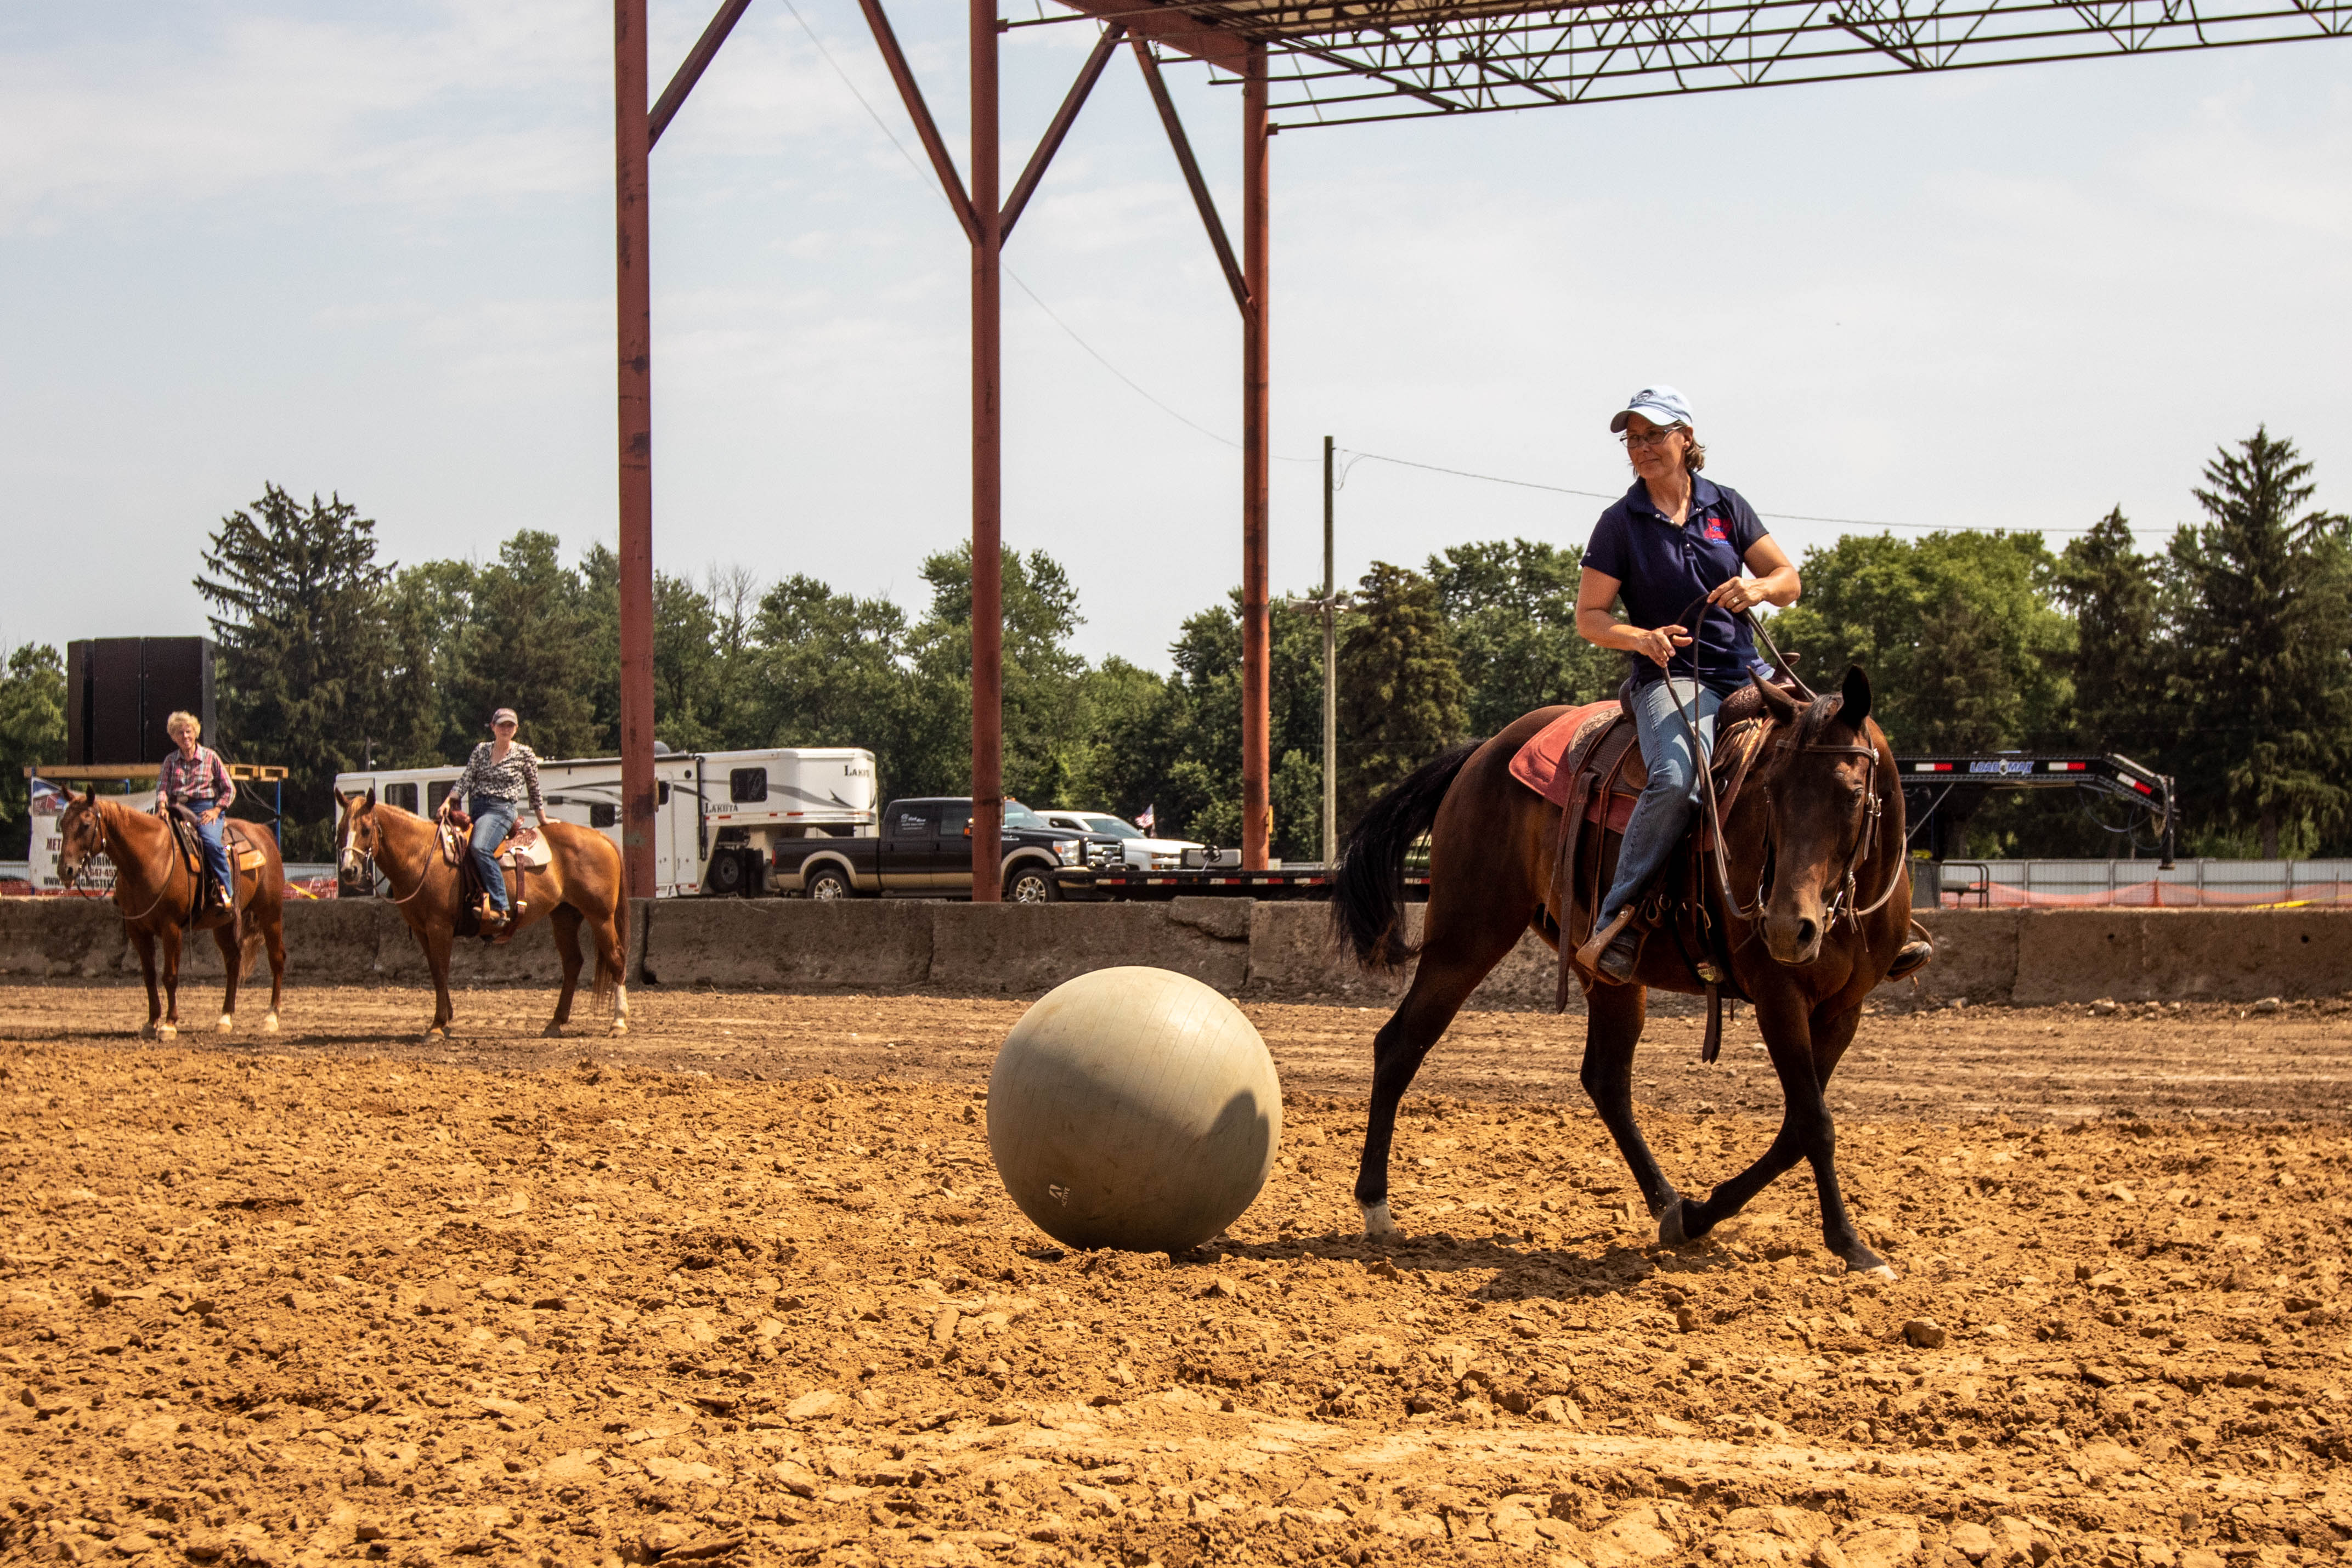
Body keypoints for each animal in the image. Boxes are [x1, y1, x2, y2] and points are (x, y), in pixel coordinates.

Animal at [54, 790, 287, 1040]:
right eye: (63, 823)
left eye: (86, 825)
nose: (66, 870)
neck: (151, 858)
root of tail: (262, 833)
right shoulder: (138, 930)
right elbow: (149, 976)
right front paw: (151, 1022)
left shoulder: (171, 927)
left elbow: (170, 976)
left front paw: (169, 1024)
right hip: (224, 921)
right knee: (234, 960)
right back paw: (225, 1018)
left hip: (270, 913)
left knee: (276, 958)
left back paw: (271, 1017)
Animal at [334, 789, 630, 1041]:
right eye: (340, 830)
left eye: (366, 829)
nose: (349, 871)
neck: (421, 855)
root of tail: (602, 839)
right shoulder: (421, 929)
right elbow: (435, 971)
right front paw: (446, 1020)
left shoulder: (439, 926)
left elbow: (441, 970)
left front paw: (438, 1025)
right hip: (565, 916)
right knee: (572, 963)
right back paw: (555, 1023)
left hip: (601, 916)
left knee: (616, 957)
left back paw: (618, 1022)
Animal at [1331, 665, 1911, 1277]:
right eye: (1771, 790)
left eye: (1852, 794)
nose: (1784, 927)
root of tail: (1485, 752)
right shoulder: (1779, 997)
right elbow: (1813, 1122)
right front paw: (1852, 1246)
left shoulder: (1844, 1009)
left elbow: (1797, 1127)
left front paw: (1698, 1216)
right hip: (1467, 936)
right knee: (1400, 1044)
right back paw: (1376, 1207)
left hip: (1605, 972)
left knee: (1606, 1078)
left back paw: (1667, 1202)